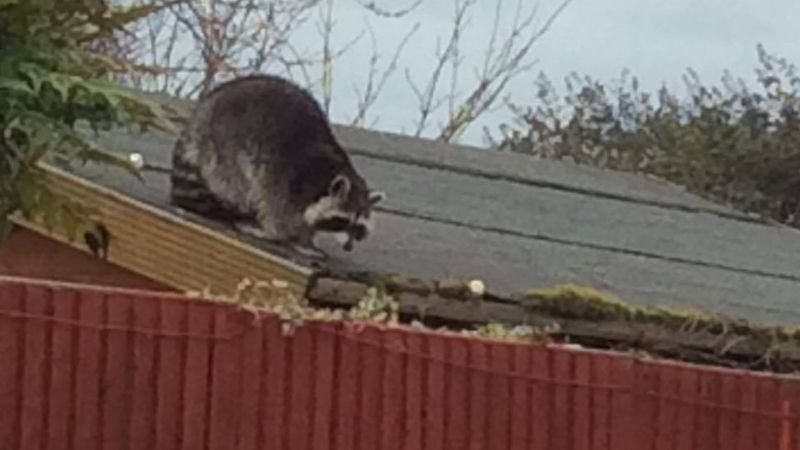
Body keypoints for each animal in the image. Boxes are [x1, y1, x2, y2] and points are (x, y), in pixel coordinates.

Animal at [169, 74, 386, 258]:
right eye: (342, 221)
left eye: (359, 228)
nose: (349, 247)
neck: (328, 176)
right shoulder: (286, 179)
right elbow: (278, 213)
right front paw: (286, 237)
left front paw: (307, 239)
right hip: (223, 147)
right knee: (239, 185)